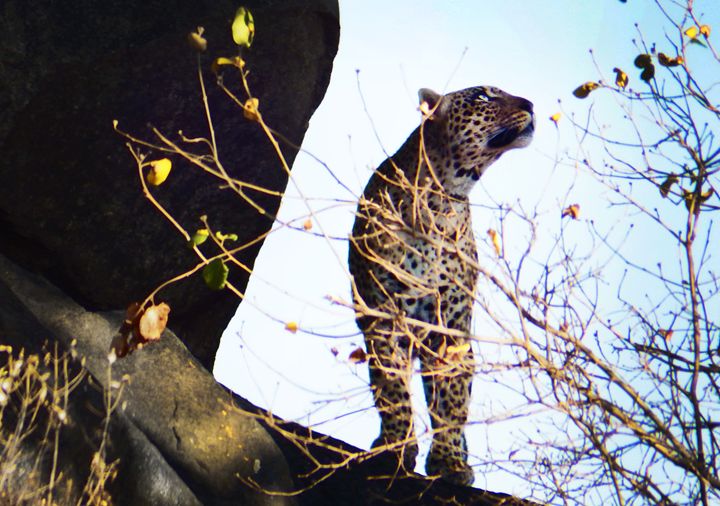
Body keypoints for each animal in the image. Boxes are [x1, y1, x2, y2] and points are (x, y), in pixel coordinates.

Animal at [348, 85, 534, 485]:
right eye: (484, 96)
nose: (530, 104)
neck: (439, 199)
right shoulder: (384, 318)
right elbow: (393, 390)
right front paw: (396, 450)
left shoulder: (451, 326)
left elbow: (450, 399)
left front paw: (449, 463)